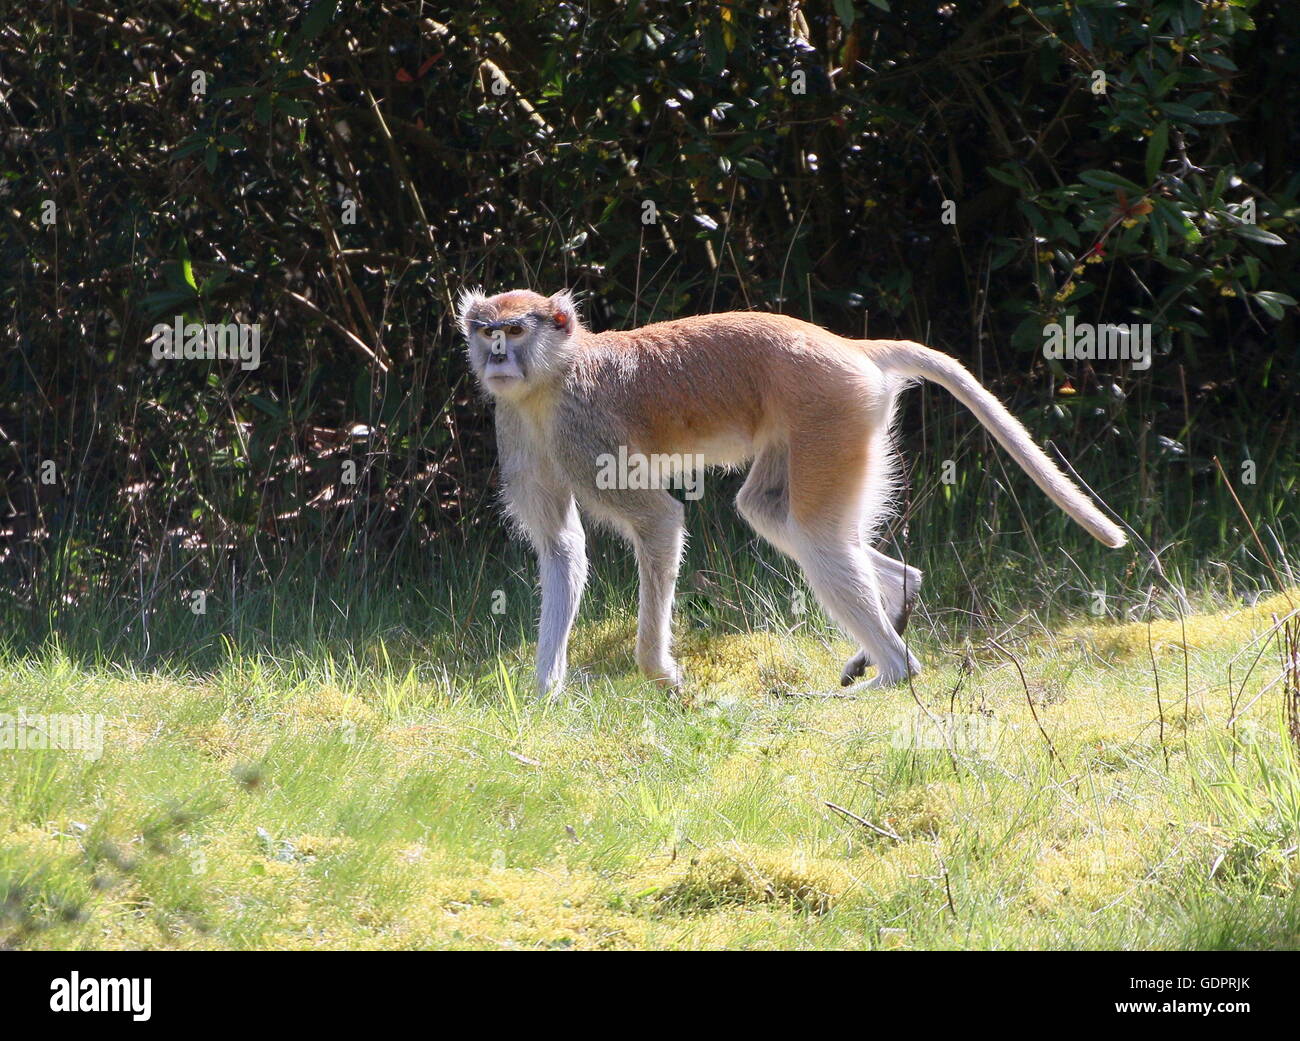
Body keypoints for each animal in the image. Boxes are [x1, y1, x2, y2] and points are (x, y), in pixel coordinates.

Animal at [459, 288, 1126, 698]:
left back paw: (893, 673)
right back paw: (899, 600)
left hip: (832, 411)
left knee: (816, 536)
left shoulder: (584, 428)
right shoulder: (516, 426)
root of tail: (850, 347)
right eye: (486, 329)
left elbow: (659, 521)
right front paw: (545, 691)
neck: (551, 377)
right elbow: (562, 550)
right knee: (773, 515)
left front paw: (661, 674)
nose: (496, 355)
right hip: (821, 423)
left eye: (515, 329)